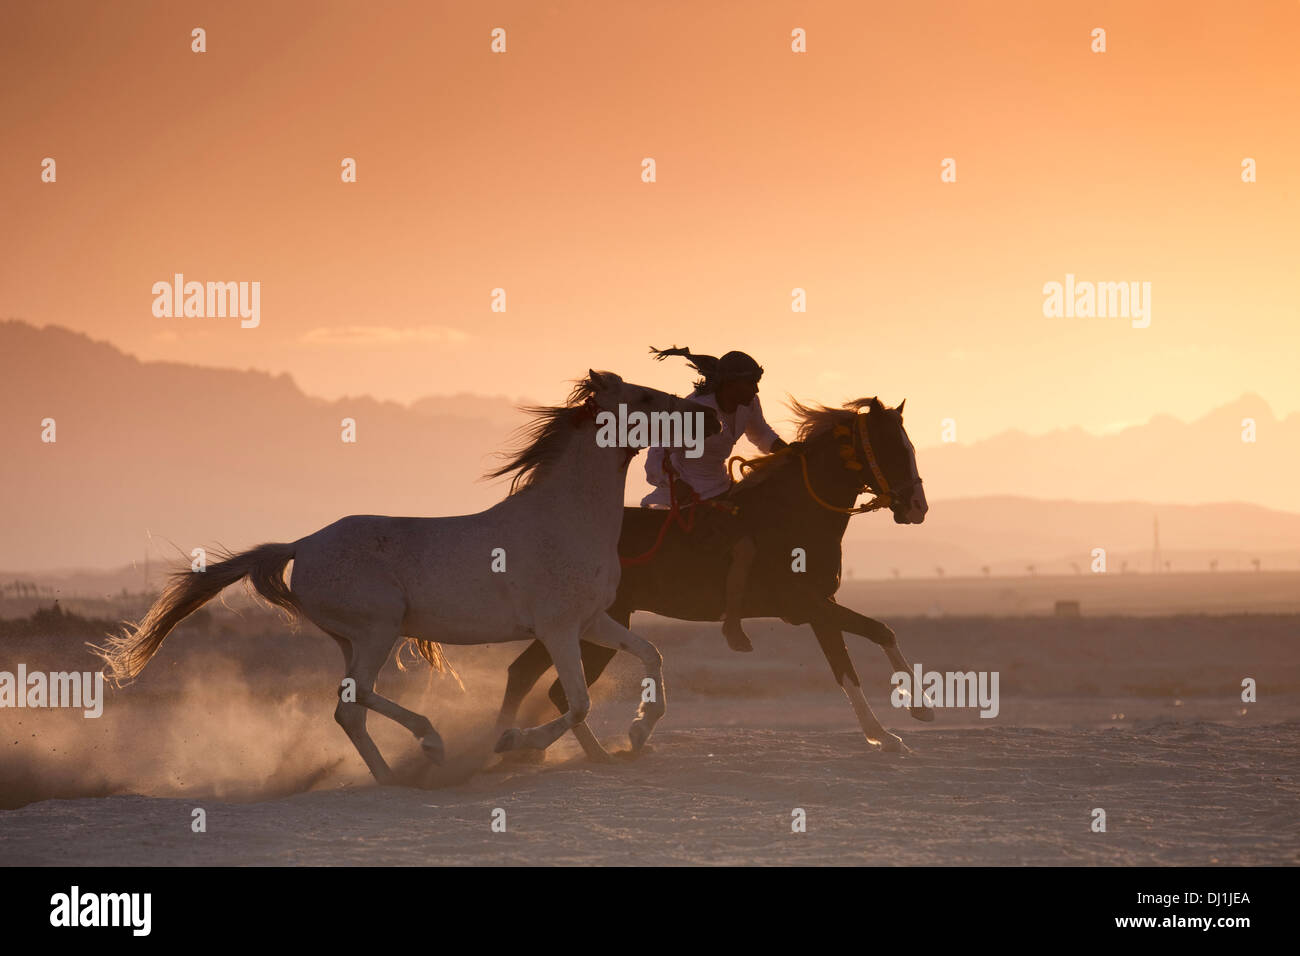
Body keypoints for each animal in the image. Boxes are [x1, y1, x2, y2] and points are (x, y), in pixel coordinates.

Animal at [91, 370, 720, 784]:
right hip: (378, 629)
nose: (709, 416)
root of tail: (302, 545)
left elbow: (651, 657)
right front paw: (516, 742)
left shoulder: (592, 621)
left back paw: (405, 765)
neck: (567, 518)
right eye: (644, 397)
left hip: (354, 637)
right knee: (354, 700)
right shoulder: (559, 628)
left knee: (350, 704)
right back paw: (423, 753)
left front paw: (629, 739)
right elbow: (580, 700)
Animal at [491, 396, 932, 757]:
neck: (793, 515)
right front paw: (919, 709)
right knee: (552, 688)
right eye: (894, 449)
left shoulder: (820, 606)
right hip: (590, 624)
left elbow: (849, 666)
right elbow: (879, 632)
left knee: (527, 675)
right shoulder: (805, 604)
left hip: (582, 624)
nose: (917, 506)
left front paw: (884, 733)